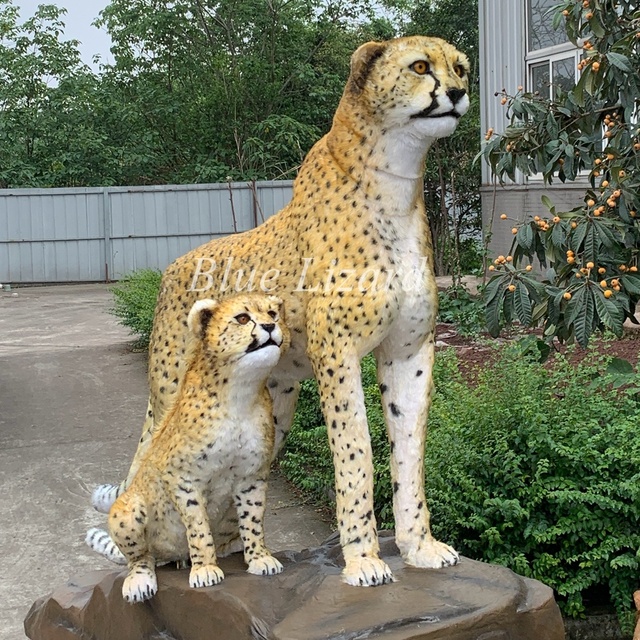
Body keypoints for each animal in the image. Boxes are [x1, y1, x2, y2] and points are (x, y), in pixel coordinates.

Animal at [102, 294, 289, 603]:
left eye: (273, 313)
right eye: (242, 318)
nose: (269, 326)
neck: (239, 393)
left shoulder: (251, 477)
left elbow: (253, 520)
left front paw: (259, 557)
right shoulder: (181, 477)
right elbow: (198, 527)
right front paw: (205, 569)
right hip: (126, 508)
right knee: (141, 558)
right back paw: (141, 581)